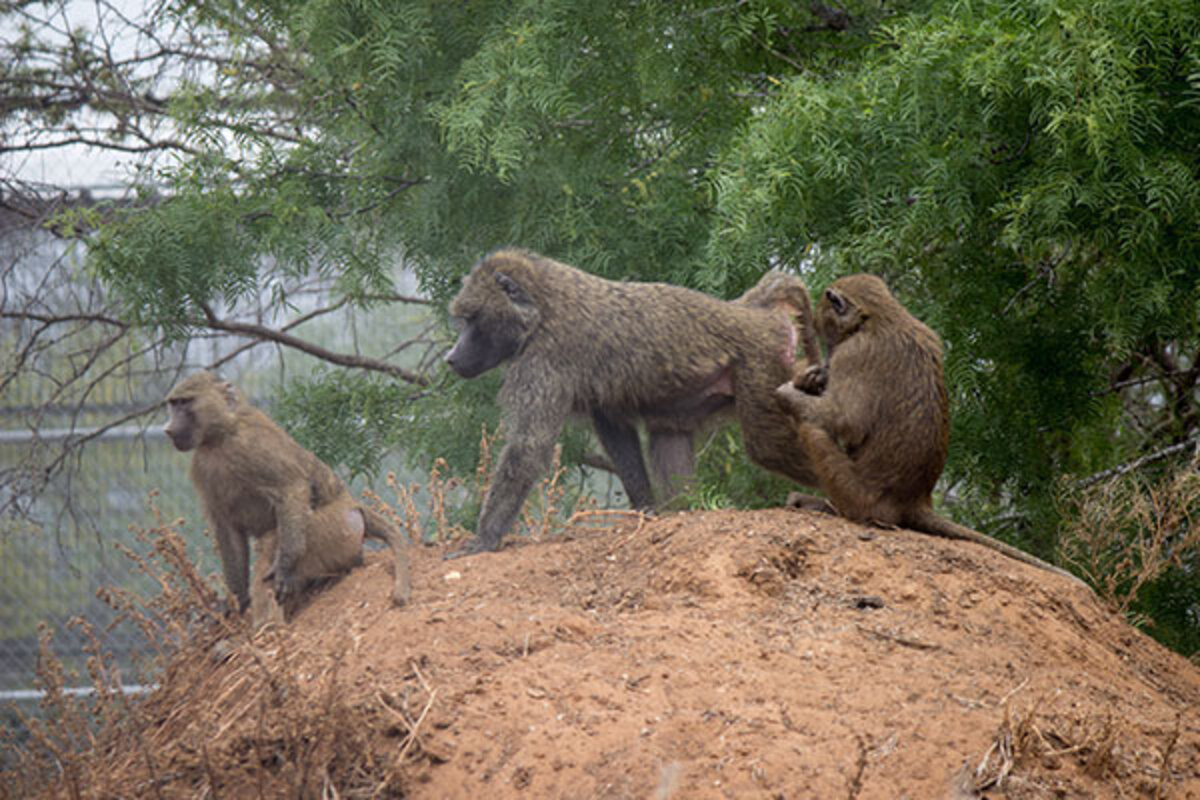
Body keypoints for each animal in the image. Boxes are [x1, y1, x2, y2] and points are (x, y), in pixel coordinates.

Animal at [163, 371, 412, 622]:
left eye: (185, 402)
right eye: (174, 404)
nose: (168, 429)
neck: (221, 434)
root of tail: (351, 504)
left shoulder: (252, 445)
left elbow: (291, 487)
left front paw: (284, 569)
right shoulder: (202, 466)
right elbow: (228, 529)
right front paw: (235, 601)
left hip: (337, 528)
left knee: (273, 541)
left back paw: (270, 625)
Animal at [444, 248, 824, 555]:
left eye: (472, 319)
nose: (451, 357)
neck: (542, 305)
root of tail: (748, 311)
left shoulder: (543, 359)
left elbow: (528, 447)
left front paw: (484, 540)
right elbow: (617, 433)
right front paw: (646, 510)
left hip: (760, 359)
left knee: (767, 446)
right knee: (669, 435)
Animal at [774, 274, 1077, 580]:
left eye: (829, 336)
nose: (826, 359)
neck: (880, 316)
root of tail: (914, 501)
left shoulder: (853, 354)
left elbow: (845, 421)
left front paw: (787, 393)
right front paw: (811, 380)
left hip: (859, 495)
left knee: (812, 430)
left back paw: (829, 507)